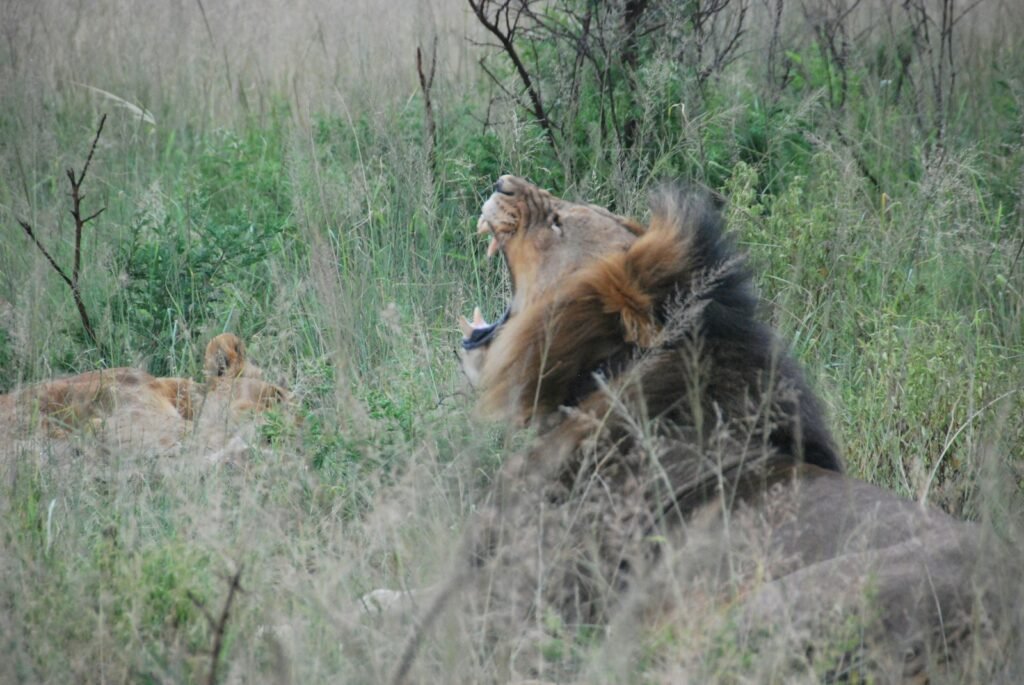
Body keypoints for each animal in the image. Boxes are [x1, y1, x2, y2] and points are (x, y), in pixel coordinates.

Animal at [390, 177, 1012, 682]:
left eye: (558, 222)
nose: (503, 182)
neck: (600, 378)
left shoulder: (522, 598)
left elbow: (418, 613)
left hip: (765, 612)